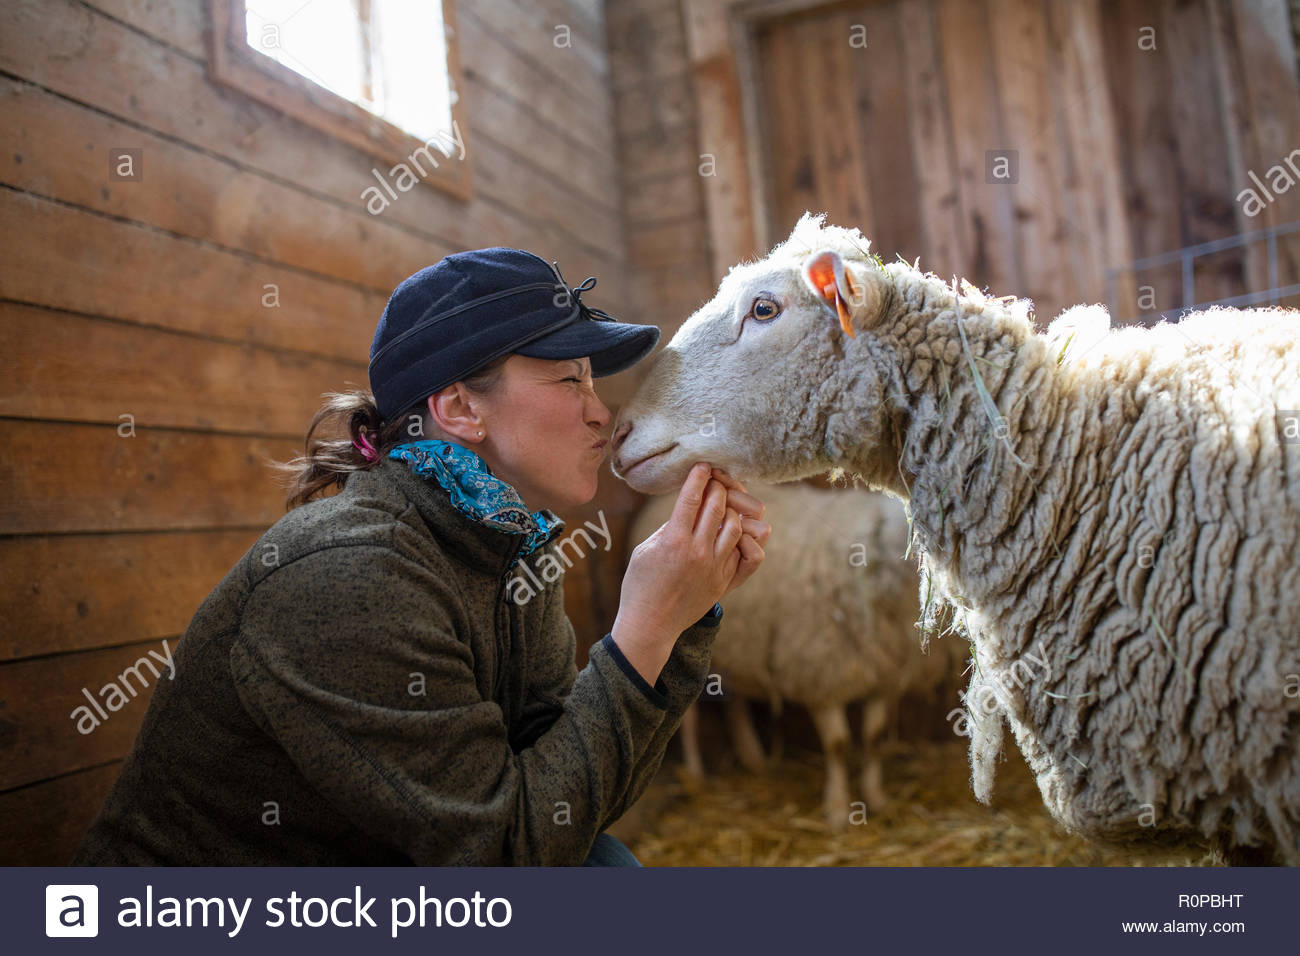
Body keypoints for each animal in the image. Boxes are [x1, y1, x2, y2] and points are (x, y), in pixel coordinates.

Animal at [632, 481, 964, 829]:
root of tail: (666, 496)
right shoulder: (820, 673)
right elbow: (837, 745)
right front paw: (837, 808)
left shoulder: (883, 676)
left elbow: (873, 738)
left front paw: (875, 797)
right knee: (691, 715)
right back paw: (696, 774)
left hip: (740, 644)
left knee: (734, 700)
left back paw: (753, 757)